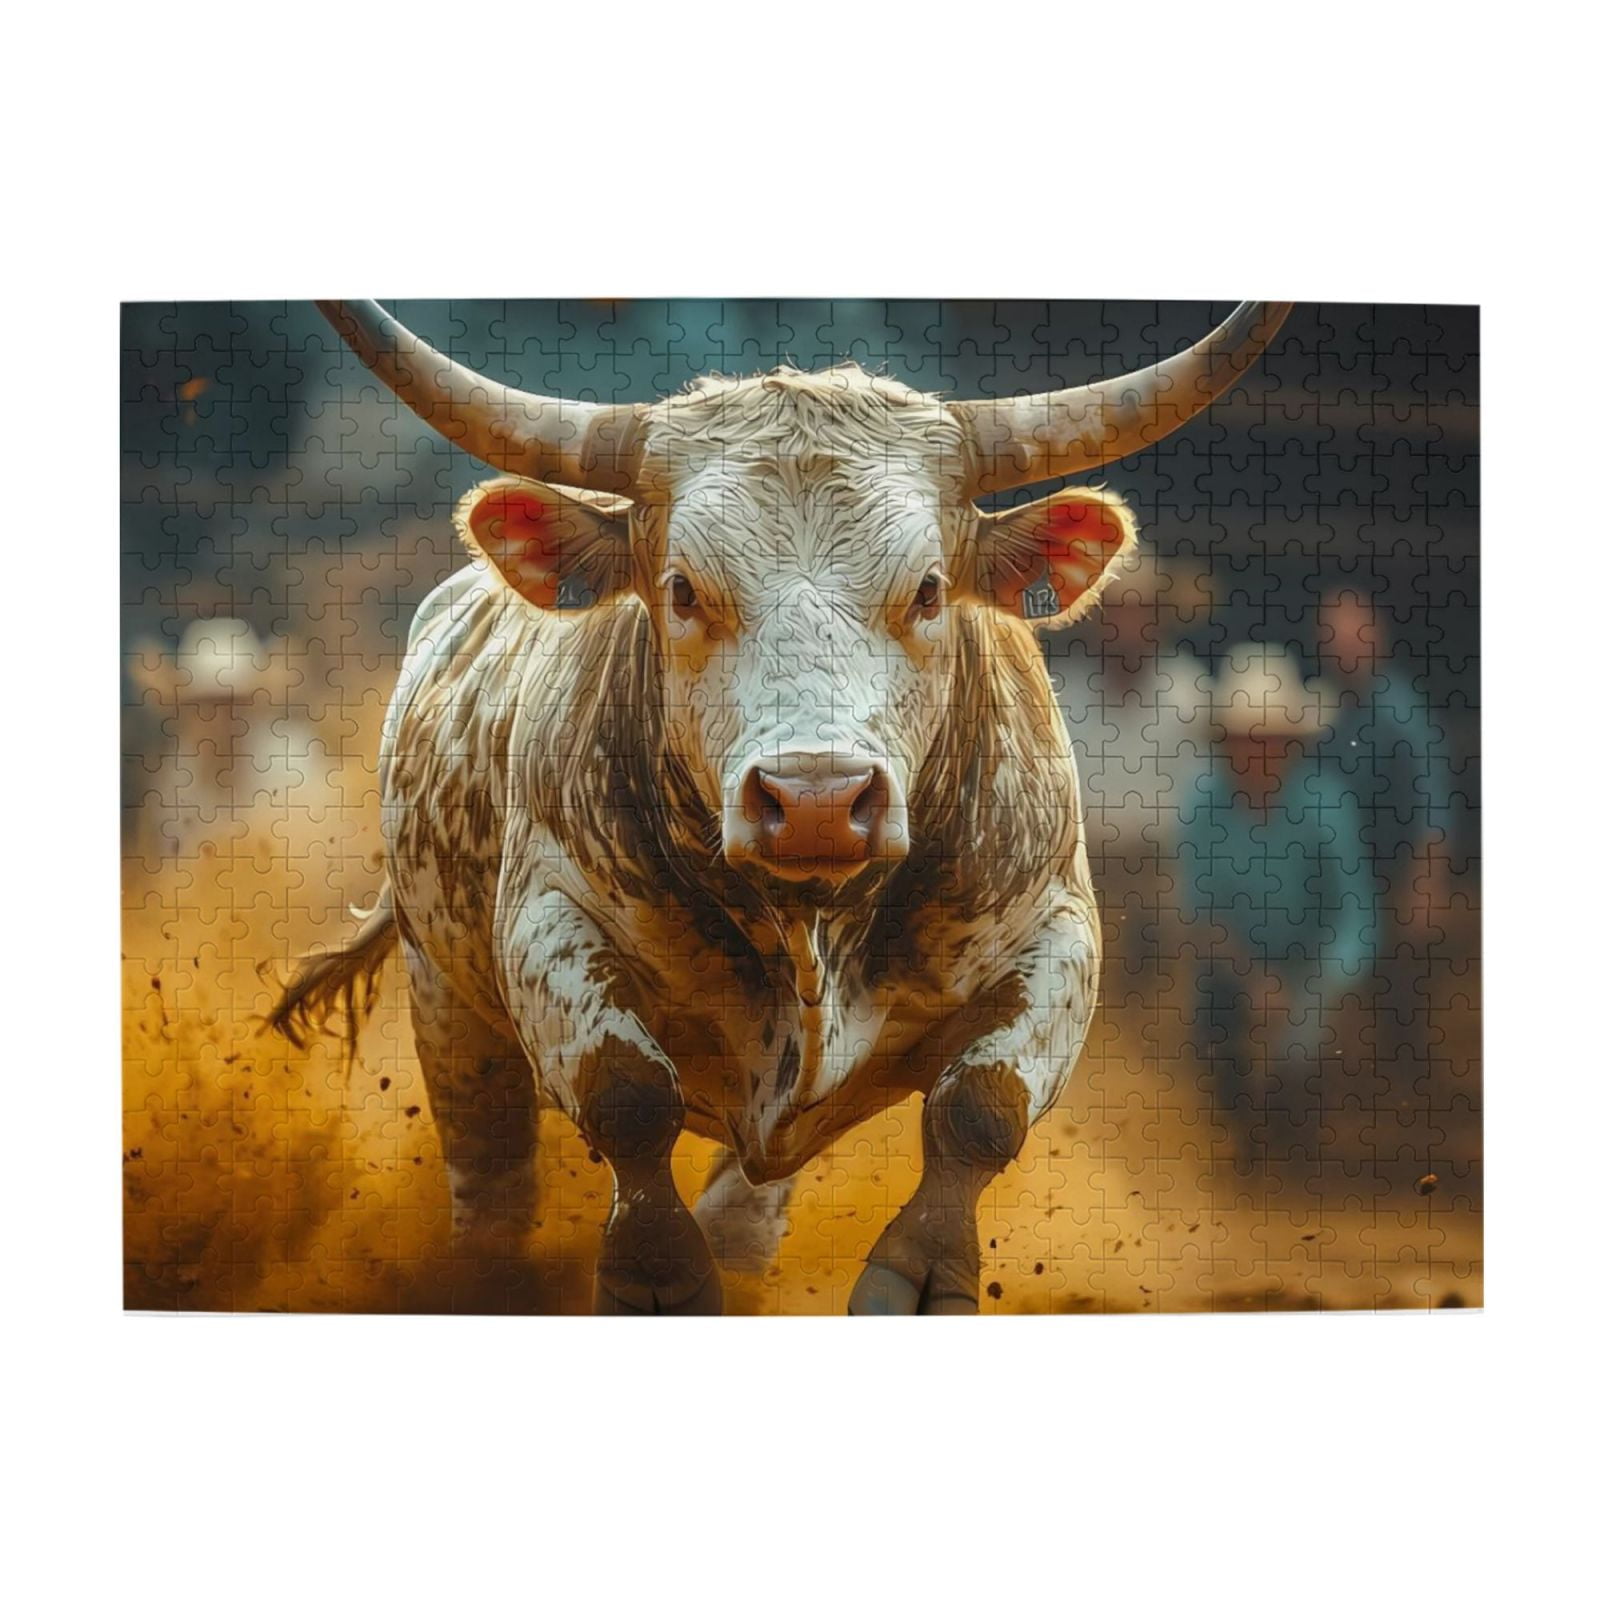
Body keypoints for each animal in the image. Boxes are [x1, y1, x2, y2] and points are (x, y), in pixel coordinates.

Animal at [270, 298, 1291, 1314]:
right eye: (682, 589)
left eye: (929, 591)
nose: (815, 801)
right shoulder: (547, 917)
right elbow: (628, 1095)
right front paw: (657, 1276)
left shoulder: (1059, 932)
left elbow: (980, 1109)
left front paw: (919, 1275)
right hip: (448, 1004)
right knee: (492, 1180)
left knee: (741, 1216)